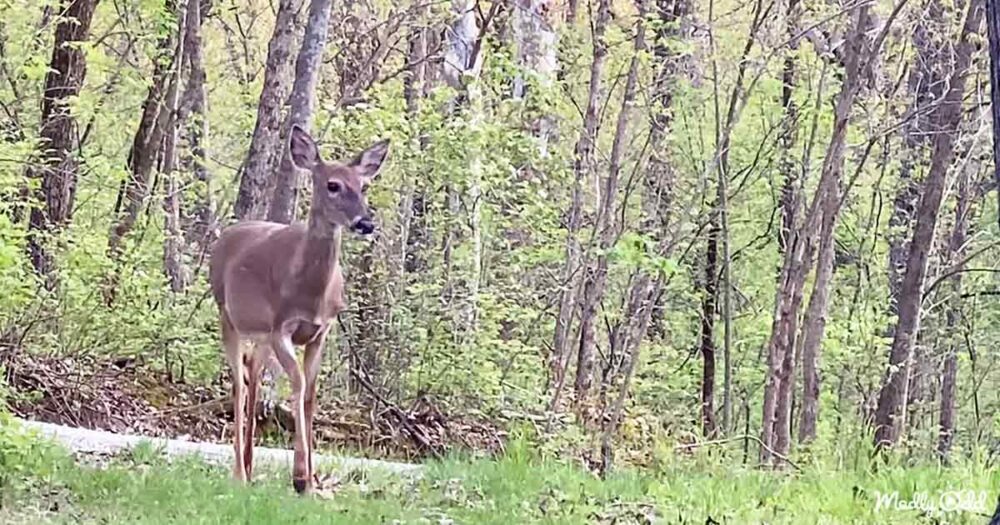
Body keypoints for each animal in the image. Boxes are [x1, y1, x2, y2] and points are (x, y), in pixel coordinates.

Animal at [209, 124, 389, 493]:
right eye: (333, 185)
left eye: (364, 186)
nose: (365, 223)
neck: (312, 294)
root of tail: (223, 237)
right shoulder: (282, 327)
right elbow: (298, 383)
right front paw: (301, 477)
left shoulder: (321, 331)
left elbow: (311, 395)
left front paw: (314, 480)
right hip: (228, 316)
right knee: (238, 385)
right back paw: (239, 473)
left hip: (261, 335)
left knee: (253, 373)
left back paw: (250, 466)